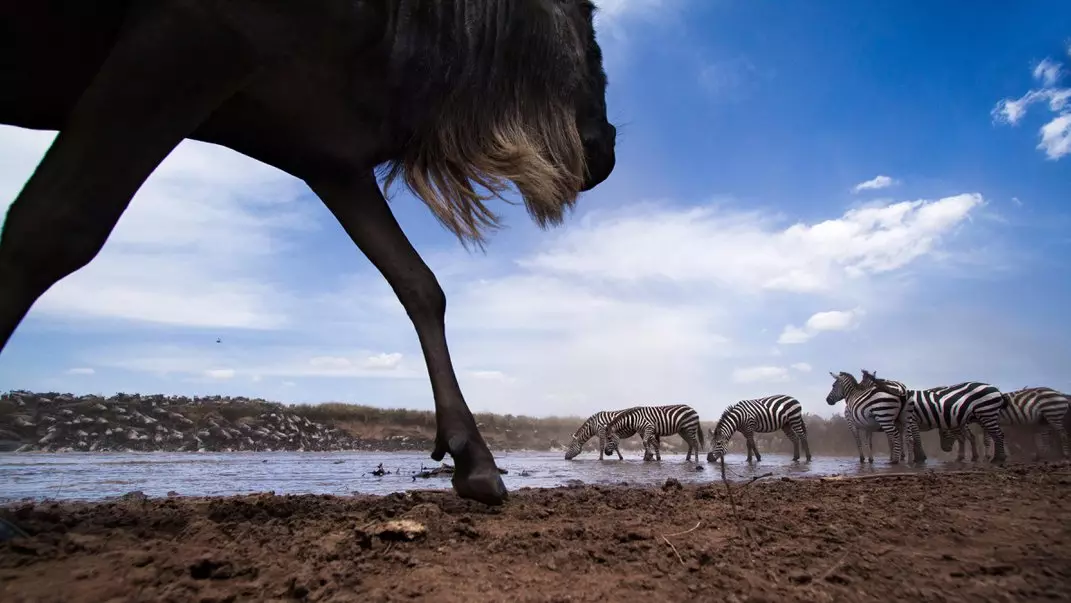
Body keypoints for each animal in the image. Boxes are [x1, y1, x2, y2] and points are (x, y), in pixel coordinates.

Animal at [865, 372, 1006, 466]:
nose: (945, 450)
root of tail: (996, 389)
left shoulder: (913, 420)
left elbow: (916, 439)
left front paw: (919, 458)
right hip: (982, 416)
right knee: (984, 436)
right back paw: (984, 457)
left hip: (986, 412)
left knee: (997, 435)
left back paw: (998, 458)